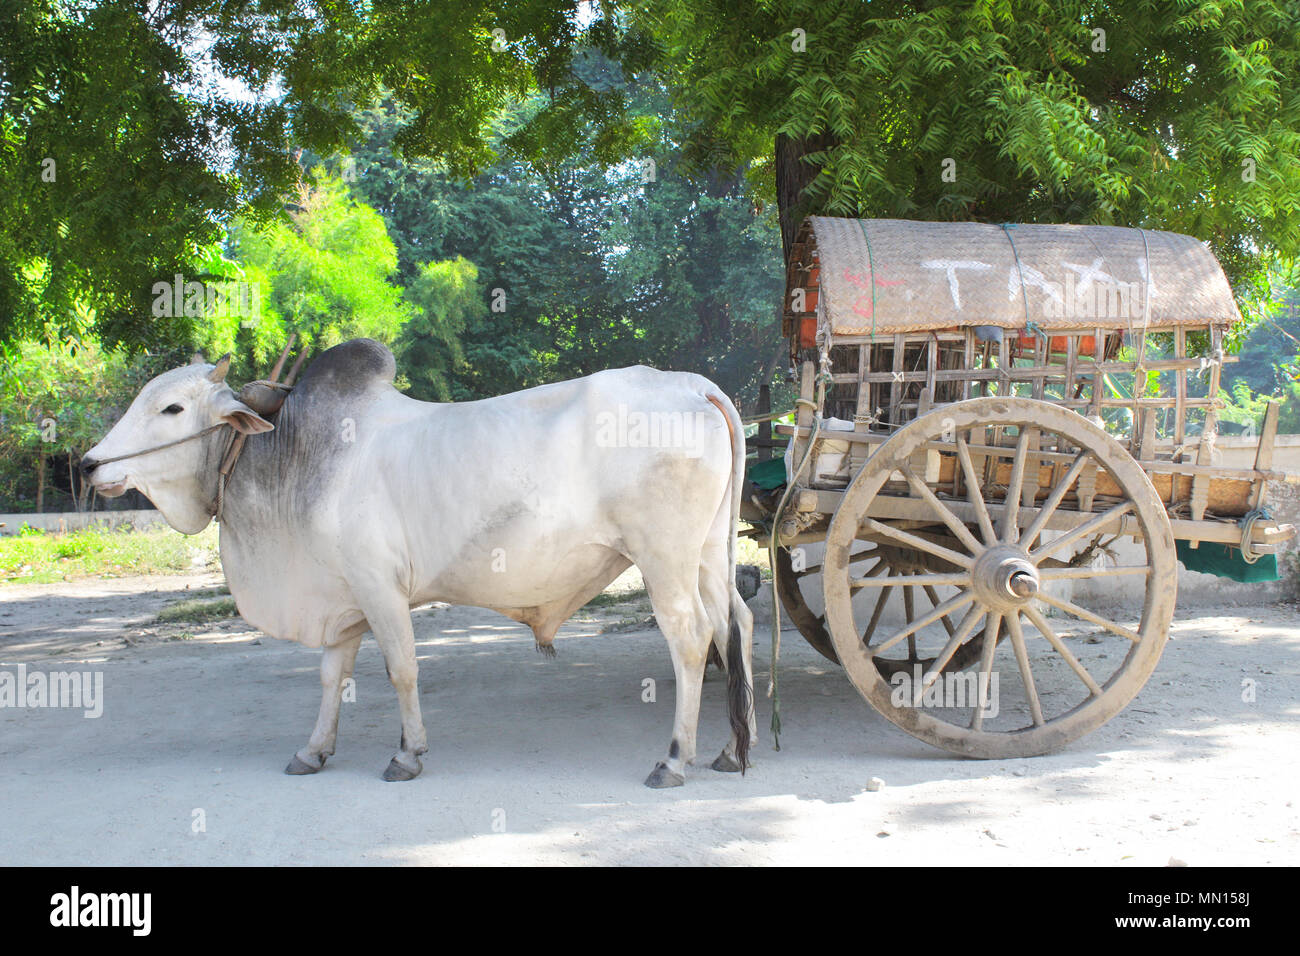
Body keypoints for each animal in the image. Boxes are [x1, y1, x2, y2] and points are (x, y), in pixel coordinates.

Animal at [81, 339, 756, 787]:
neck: (292, 455)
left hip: (663, 558)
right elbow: (331, 678)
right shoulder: (341, 598)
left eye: (171, 408)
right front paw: (313, 751)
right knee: (736, 625)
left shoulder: (379, 588)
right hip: (705, 556)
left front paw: (406, 754)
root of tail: (692, 384)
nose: (90, 465)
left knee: (692, 638)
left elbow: (401, 671)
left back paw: (675, 758)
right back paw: (731, 749)